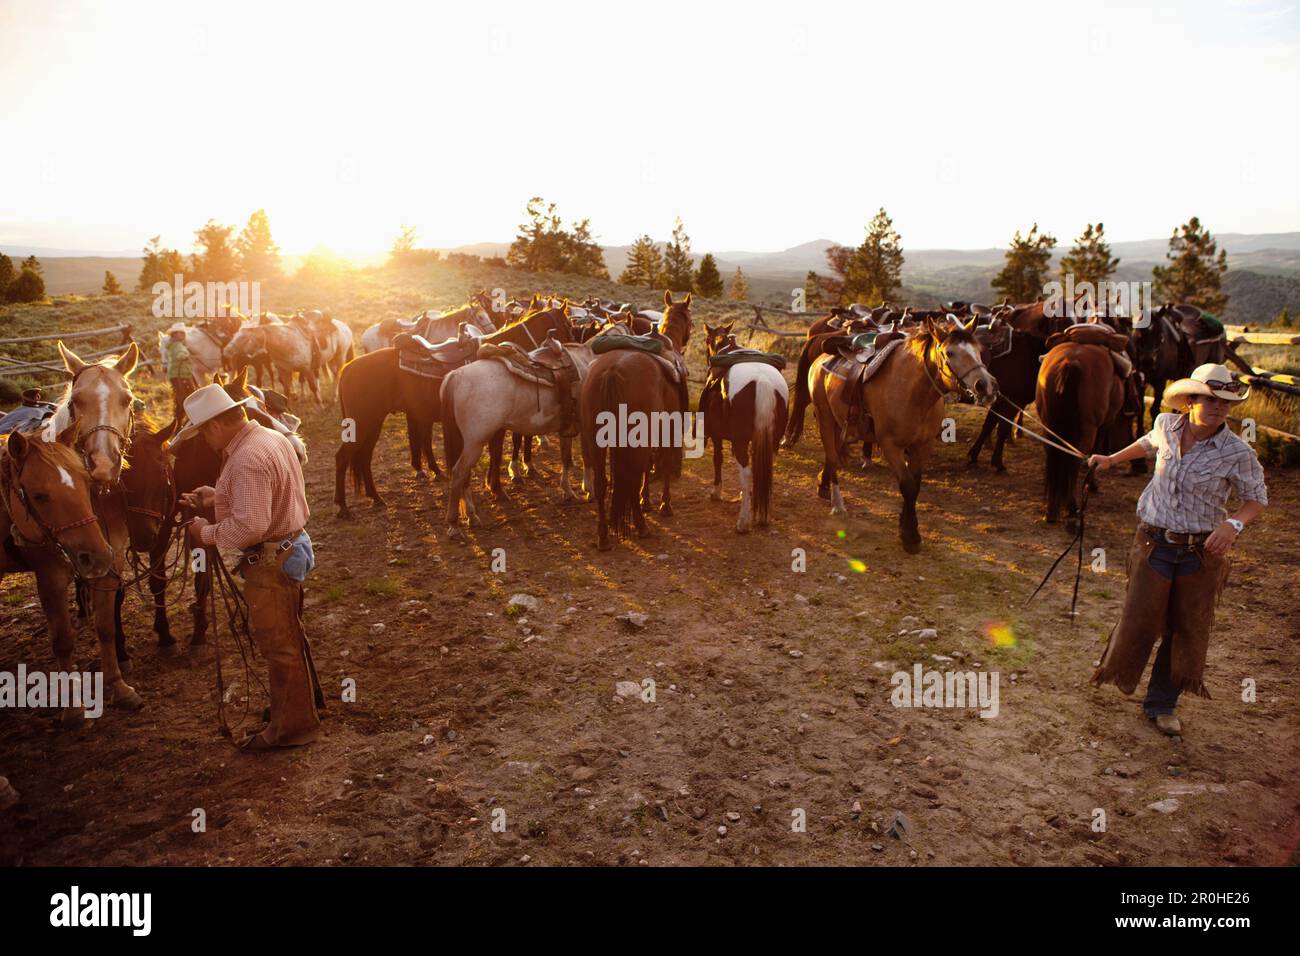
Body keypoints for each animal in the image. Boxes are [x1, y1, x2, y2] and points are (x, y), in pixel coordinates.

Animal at [579, 292, 693, 550]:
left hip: (595, 441)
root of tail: (611, 371)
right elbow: (662, 464)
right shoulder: (668, 431)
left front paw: (646, 500)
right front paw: (663, 504)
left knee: (601, 484)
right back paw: (641, 526)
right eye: (691, 320)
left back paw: (603, 536)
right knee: (630, 477)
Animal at [700, 323, 789, 533]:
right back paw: (763, 515)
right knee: (762, 471)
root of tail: (763, 381)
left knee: (747, 472)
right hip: (771, 441)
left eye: (707, 340)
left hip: (740, 442)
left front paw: (716, 492)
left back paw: (743, 522)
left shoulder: (717, 435)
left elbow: (718, 459)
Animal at [808, 316, 998, 553]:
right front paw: (910, 536)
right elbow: (907, 485)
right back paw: (837, 504)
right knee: (833, 458)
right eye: (949, 353)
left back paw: (823, 486)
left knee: (831, 454)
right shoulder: (891, 445)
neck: (913, 392)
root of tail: (821, 360)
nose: (986, 385)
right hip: (825, 418)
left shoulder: (922, 446)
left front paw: (906, 525)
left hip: (836, 422)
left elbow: (915, 485)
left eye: (979, 351)